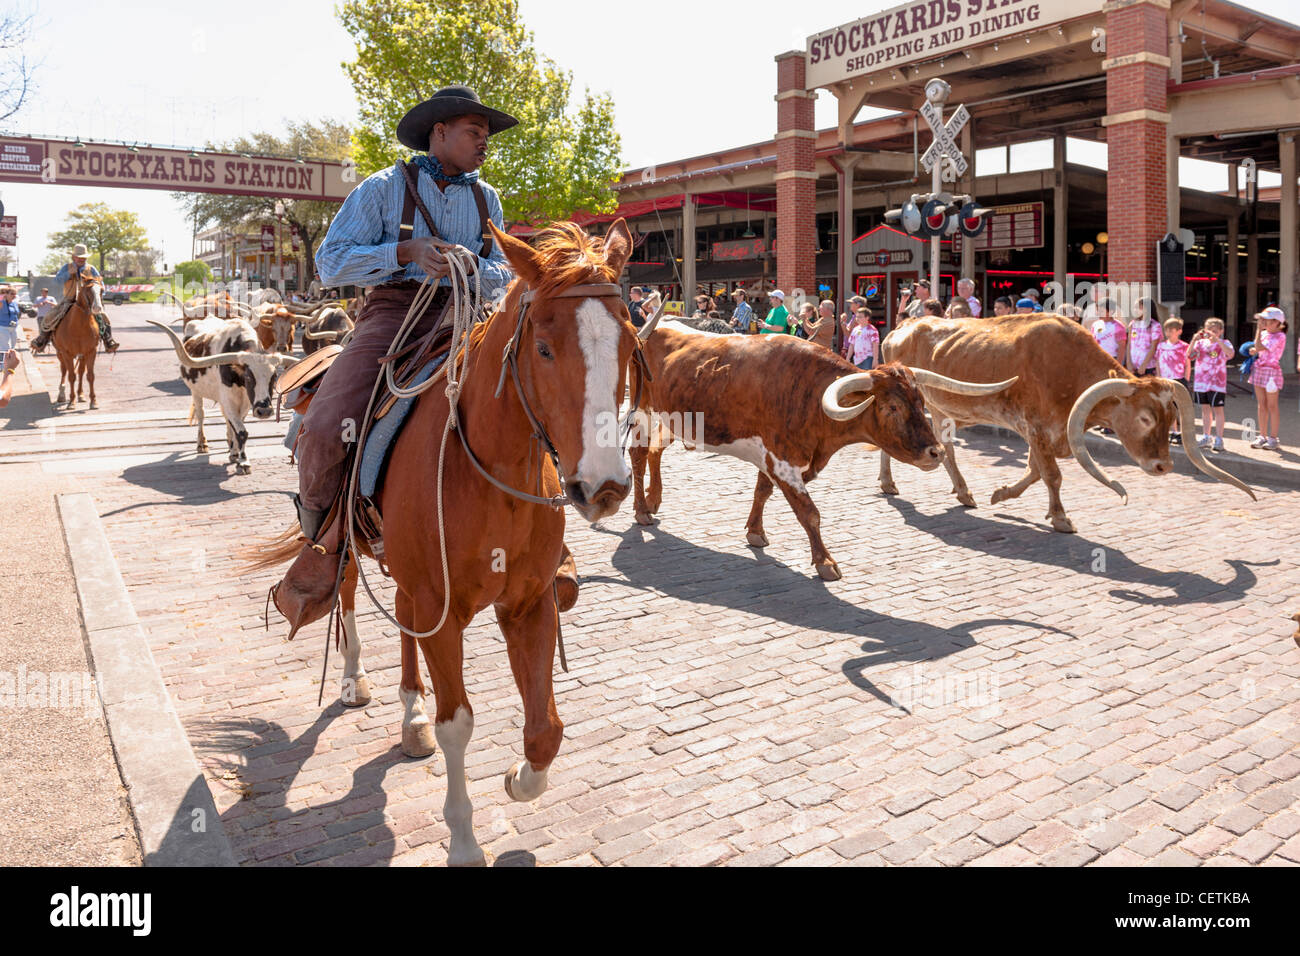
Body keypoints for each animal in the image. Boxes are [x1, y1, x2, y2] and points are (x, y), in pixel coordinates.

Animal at [148, 318, 297, 475]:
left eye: (274, 377)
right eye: (248, 377)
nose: (264, 411)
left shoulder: (244, 402)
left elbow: (236, 426)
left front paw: (235, 453)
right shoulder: (229, 399)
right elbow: (241, 431)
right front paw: (243, 462)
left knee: (226, 420)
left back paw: (231, 449)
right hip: (196, 391)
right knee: (201, 414)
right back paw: (202, 444)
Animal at [629, 317, 1017, 580]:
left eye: (921, 402)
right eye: (891, 407)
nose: (936, 452)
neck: (811, 395)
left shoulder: (772, 457)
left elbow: (761, 492)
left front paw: (755, 532)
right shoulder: (783, 461)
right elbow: (809, 513)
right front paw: (825, 562)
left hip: (672, 417)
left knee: (656, 452)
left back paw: (654, 500)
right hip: (642, 409)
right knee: (638, 456)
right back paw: (642, 511)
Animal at [877, 312, 1255, 532]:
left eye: (1172, 417)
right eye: (1145, 418)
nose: (1164, 466)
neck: (1069, 368)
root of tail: (901, 328)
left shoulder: (1047, 433)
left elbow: (1034, 471)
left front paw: (1002, 494)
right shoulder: (1035, 426)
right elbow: (1051, 475)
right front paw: (1060, 518)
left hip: (937, 409)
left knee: (945, 449)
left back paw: (962, 491)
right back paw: (890, 483)